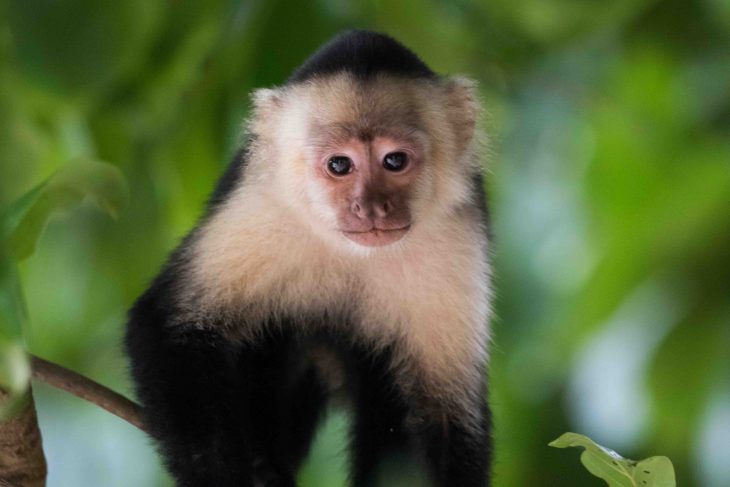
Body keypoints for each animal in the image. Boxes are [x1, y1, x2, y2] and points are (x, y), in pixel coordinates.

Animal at [125, 30, 492, 487]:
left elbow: (444, 414)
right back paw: (268, 464)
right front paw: (226, 477)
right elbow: (169, 325)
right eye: (339, 165)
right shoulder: (263, 202)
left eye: (394, 160)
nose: (371, 208)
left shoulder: (458, 231)